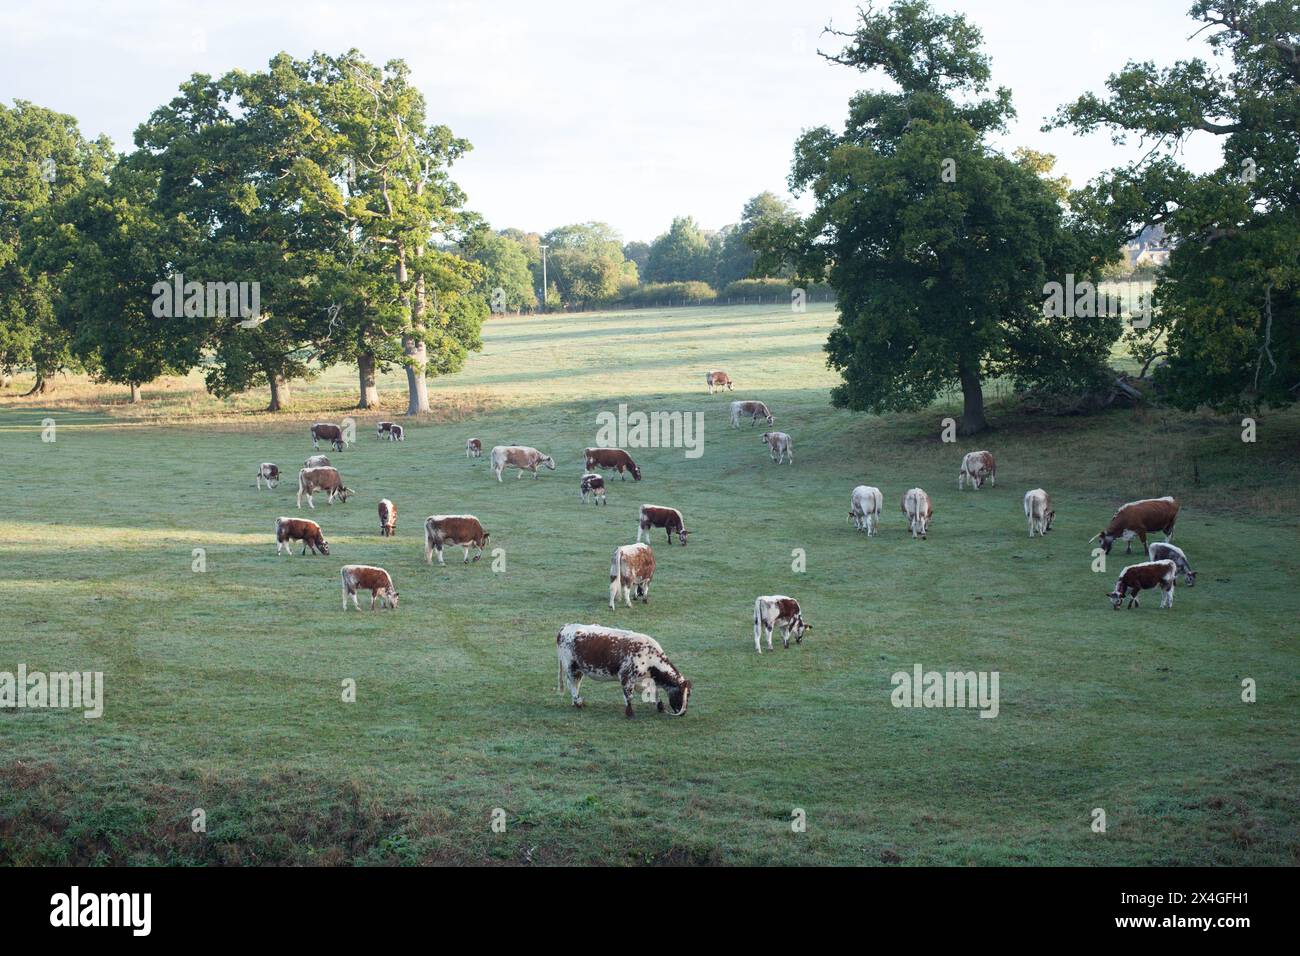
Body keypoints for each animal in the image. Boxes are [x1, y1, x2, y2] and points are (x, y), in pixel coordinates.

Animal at [556, 623, 691, 718]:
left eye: (688, 694)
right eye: (681, 693)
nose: (683, 712)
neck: (650, 657)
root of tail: (565, 627)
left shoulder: (641, 679)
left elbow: (653, 692)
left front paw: (660, 707)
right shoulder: (626, 676)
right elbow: (628, 695)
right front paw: (630, 713)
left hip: (579, 669)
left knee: (575, 684)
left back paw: (575, 702)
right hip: (571, 667)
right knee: (572, 684)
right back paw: (578, 703)